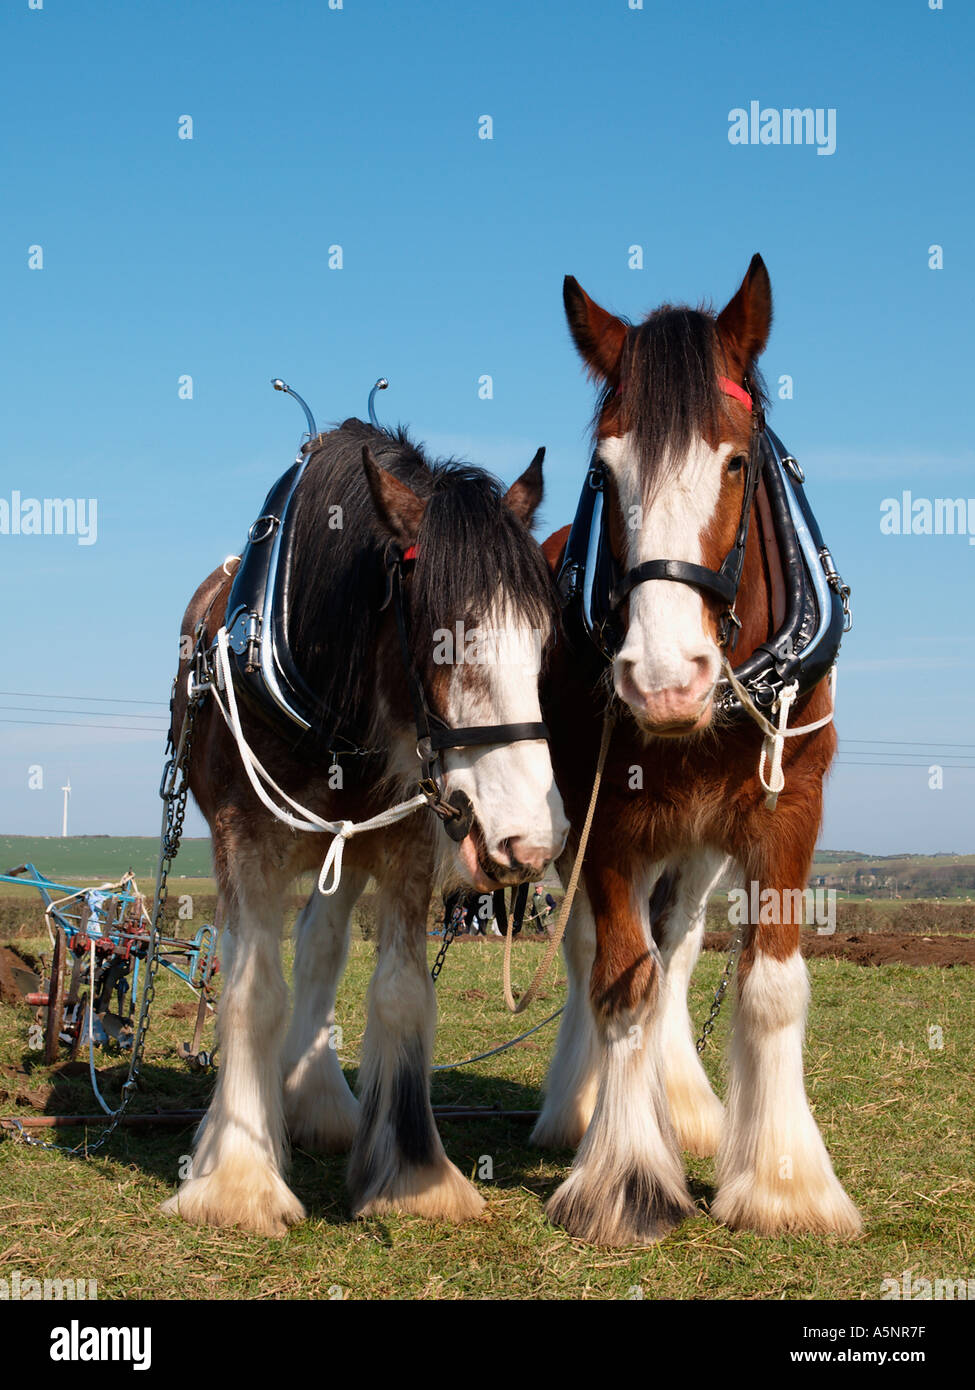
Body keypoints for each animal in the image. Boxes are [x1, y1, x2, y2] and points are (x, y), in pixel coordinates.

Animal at [162, 417, 568, 1237]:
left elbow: (400, 993)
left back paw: (318, 1102)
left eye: (543, 641)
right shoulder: (243, 842)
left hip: (342, 851)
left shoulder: (407, 842)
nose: (529, 843)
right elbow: (252, 993)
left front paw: (411, 1170)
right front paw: (238, 1182)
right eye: (444, 640)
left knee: (321, 949)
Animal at [532, 256, 862, 1246]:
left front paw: (784, 1183)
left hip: (699, 845)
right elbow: (617, 981)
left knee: (675, 950)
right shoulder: (604, 825)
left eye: (736, 459)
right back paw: (582, 1108)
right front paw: (624, 1178)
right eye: (604, 471)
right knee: (600, 952)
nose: (662, 676)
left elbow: (768, 986)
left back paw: (681, 1107)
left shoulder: (789, 811)